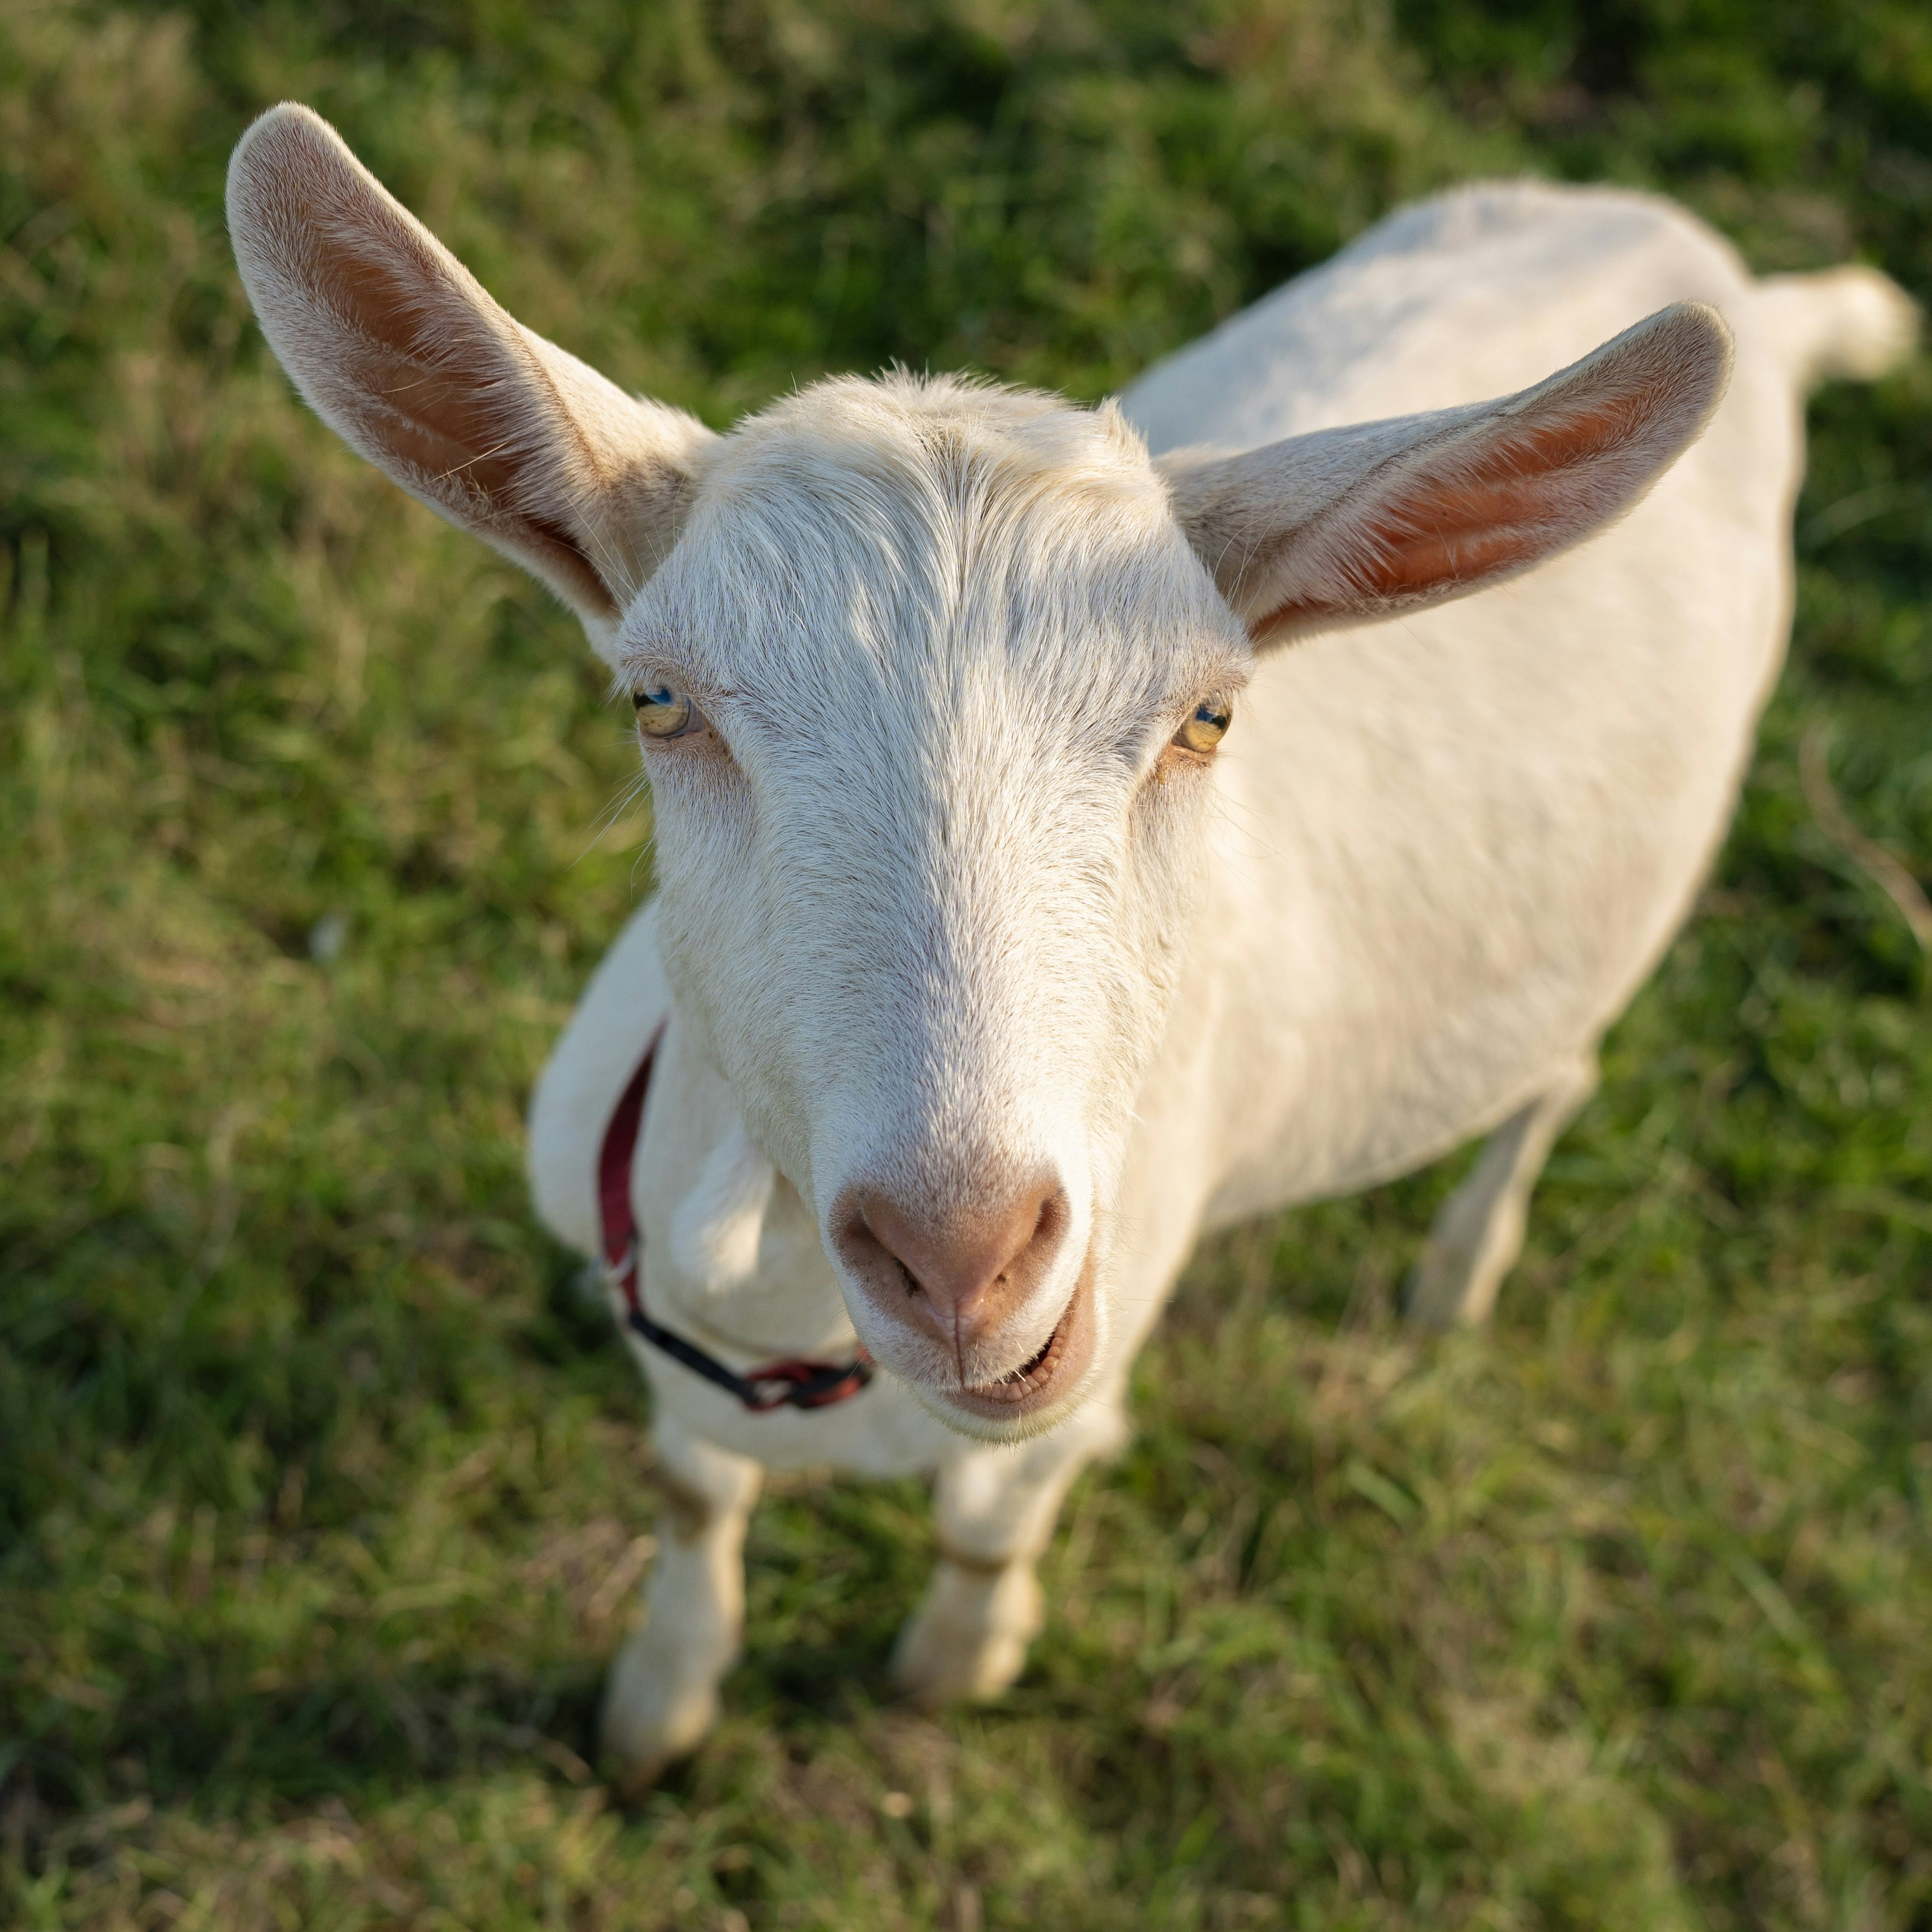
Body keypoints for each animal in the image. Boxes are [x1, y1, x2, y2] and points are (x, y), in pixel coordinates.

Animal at [227, 103, 1916, 1786]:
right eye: (659, 702)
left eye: (1206, 716)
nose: (961, 1252)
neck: (795, 1331)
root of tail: (1747, 296)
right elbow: (693, 1492)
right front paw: (658, 1706)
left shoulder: (1081, 1373)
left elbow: (992, 1518)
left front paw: (953, 1666)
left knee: (1556, 1075)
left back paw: (1456, 1276)